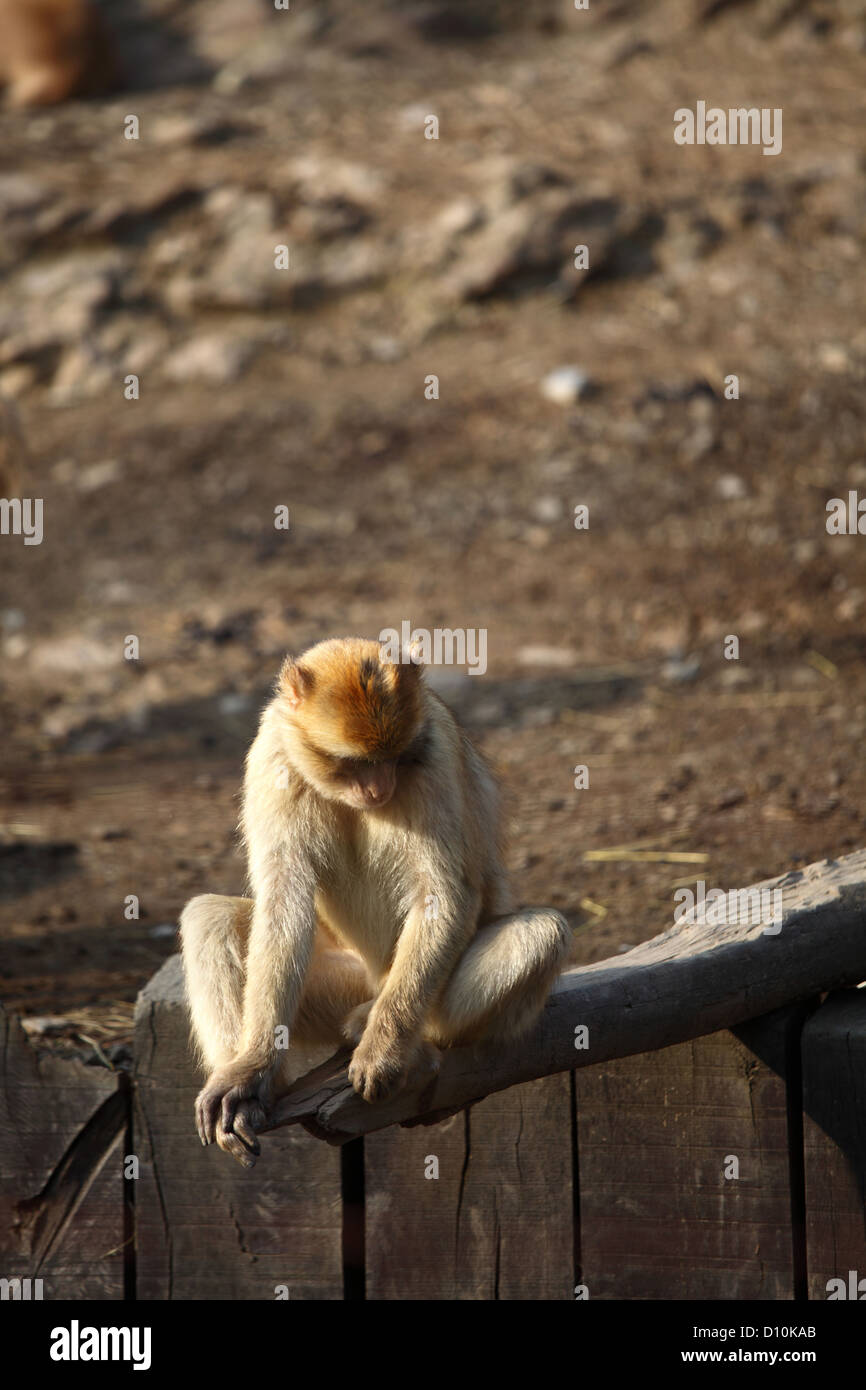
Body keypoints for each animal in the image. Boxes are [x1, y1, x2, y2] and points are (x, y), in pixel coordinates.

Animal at [180, 636, 571, 1167]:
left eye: (393, 757)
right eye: (356, 763)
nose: (378, 787)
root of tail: (374, 982)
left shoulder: (432, 752)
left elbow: (443, 897)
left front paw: (384, 1052)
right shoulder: (272, 754)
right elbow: (284, 898)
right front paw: (250, 1070)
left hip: (412, 995)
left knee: (541, 933)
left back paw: (406, 1043)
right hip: (336, 988)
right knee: (210, 915)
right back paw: (259, 1087)